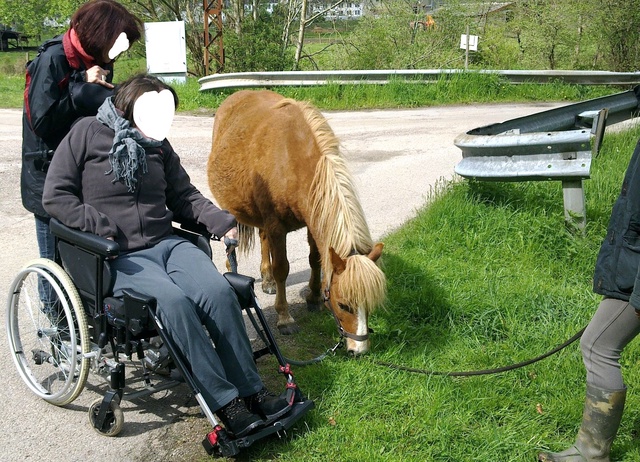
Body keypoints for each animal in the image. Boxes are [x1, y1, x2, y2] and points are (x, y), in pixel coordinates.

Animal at [207, 89, 387, 355]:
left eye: (369, 305)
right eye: (344, 305)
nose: (359, 349)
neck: (292, 158)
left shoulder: (312, 220)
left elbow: (315, 259)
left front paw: (314, 298)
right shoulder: (276, 227)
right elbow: (282, 268)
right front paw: (285, 318)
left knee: (262, 240)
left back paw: (267, 279)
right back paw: (233, 269)